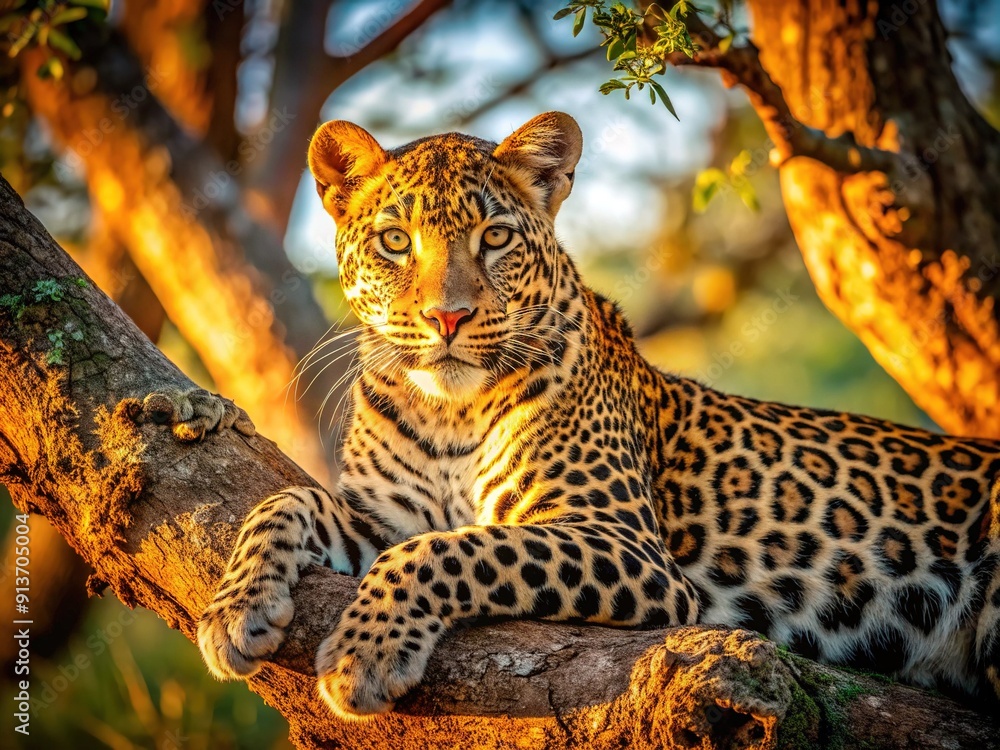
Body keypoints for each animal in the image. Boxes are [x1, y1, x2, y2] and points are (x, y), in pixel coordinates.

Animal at [182, 111, 1000, 720]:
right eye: (393, 241)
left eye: (495, 238)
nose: (448, 317)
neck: (448, 414)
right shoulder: (379, 516)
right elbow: (287, 501)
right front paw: (236, 610)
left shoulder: (625, 542)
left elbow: (450, 549)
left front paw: (366, 655)